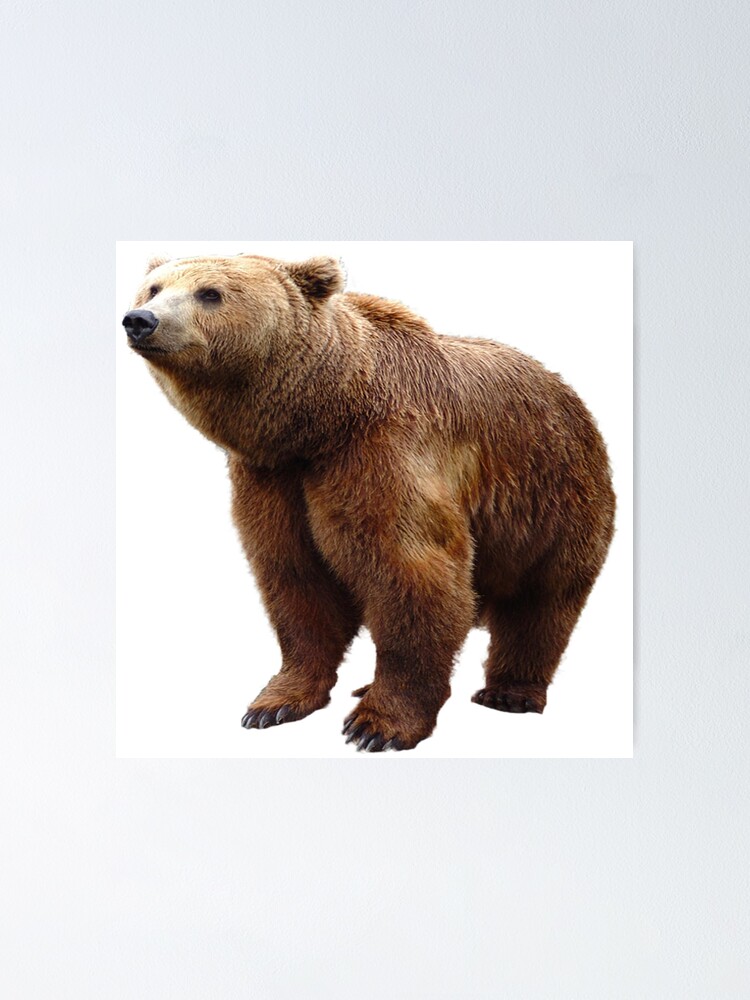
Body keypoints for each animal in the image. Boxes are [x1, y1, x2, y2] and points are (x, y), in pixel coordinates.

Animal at [123, 252, 616, 752]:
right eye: (154, 288)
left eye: (210, 292)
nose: (141, 320)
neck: (319, 420)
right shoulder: (273, 479)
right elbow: (295, 577)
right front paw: (274, 704)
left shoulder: (383, 453)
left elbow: (412, 572)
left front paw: (376, 725)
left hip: (550, 497)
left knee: (541, 601)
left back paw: (510, 692)